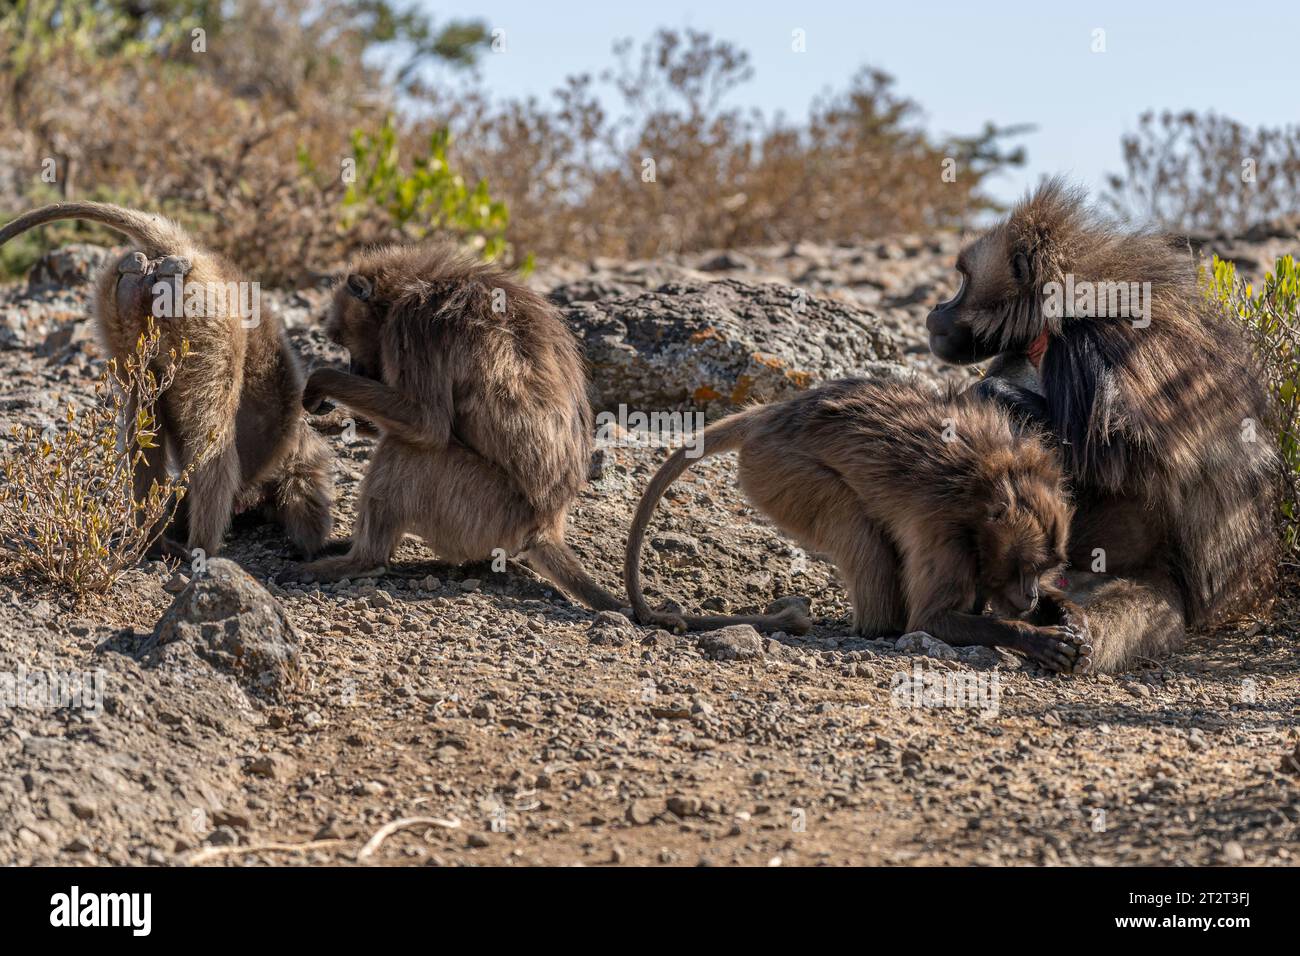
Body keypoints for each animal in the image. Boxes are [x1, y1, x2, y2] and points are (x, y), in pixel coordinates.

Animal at [0, 202, 334, 558]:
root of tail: (186, 253)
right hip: (201, 312)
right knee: (211, 432)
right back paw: (201, 548)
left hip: (125, 297)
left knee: (142, 410)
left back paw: (151, 539)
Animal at [296, 242, 624, 612]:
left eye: (343, 341)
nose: (355, 370)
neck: (415, 283)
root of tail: (546, 526)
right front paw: (328, 421)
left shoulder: (414, 324)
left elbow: (427, 425)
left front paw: (321, 381)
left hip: (484, 512)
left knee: (406, 450)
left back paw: (361, 562)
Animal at [624, 376, 1095, 673]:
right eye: (1025, 568)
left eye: (1042, 569)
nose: (1031, 596)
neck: (990, 491)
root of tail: (771, 414)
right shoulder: (945, 537)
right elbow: (930, 620)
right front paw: (1037, 638)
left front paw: (1069, 619)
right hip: (780, 473)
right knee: (862, 534)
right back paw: (880, 628)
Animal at [925, 178, 1279, 672]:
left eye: (961, 279)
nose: (935, 309)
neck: (1058, 313)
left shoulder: (1085, 346)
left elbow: (1119, 458)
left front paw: (989, 393)